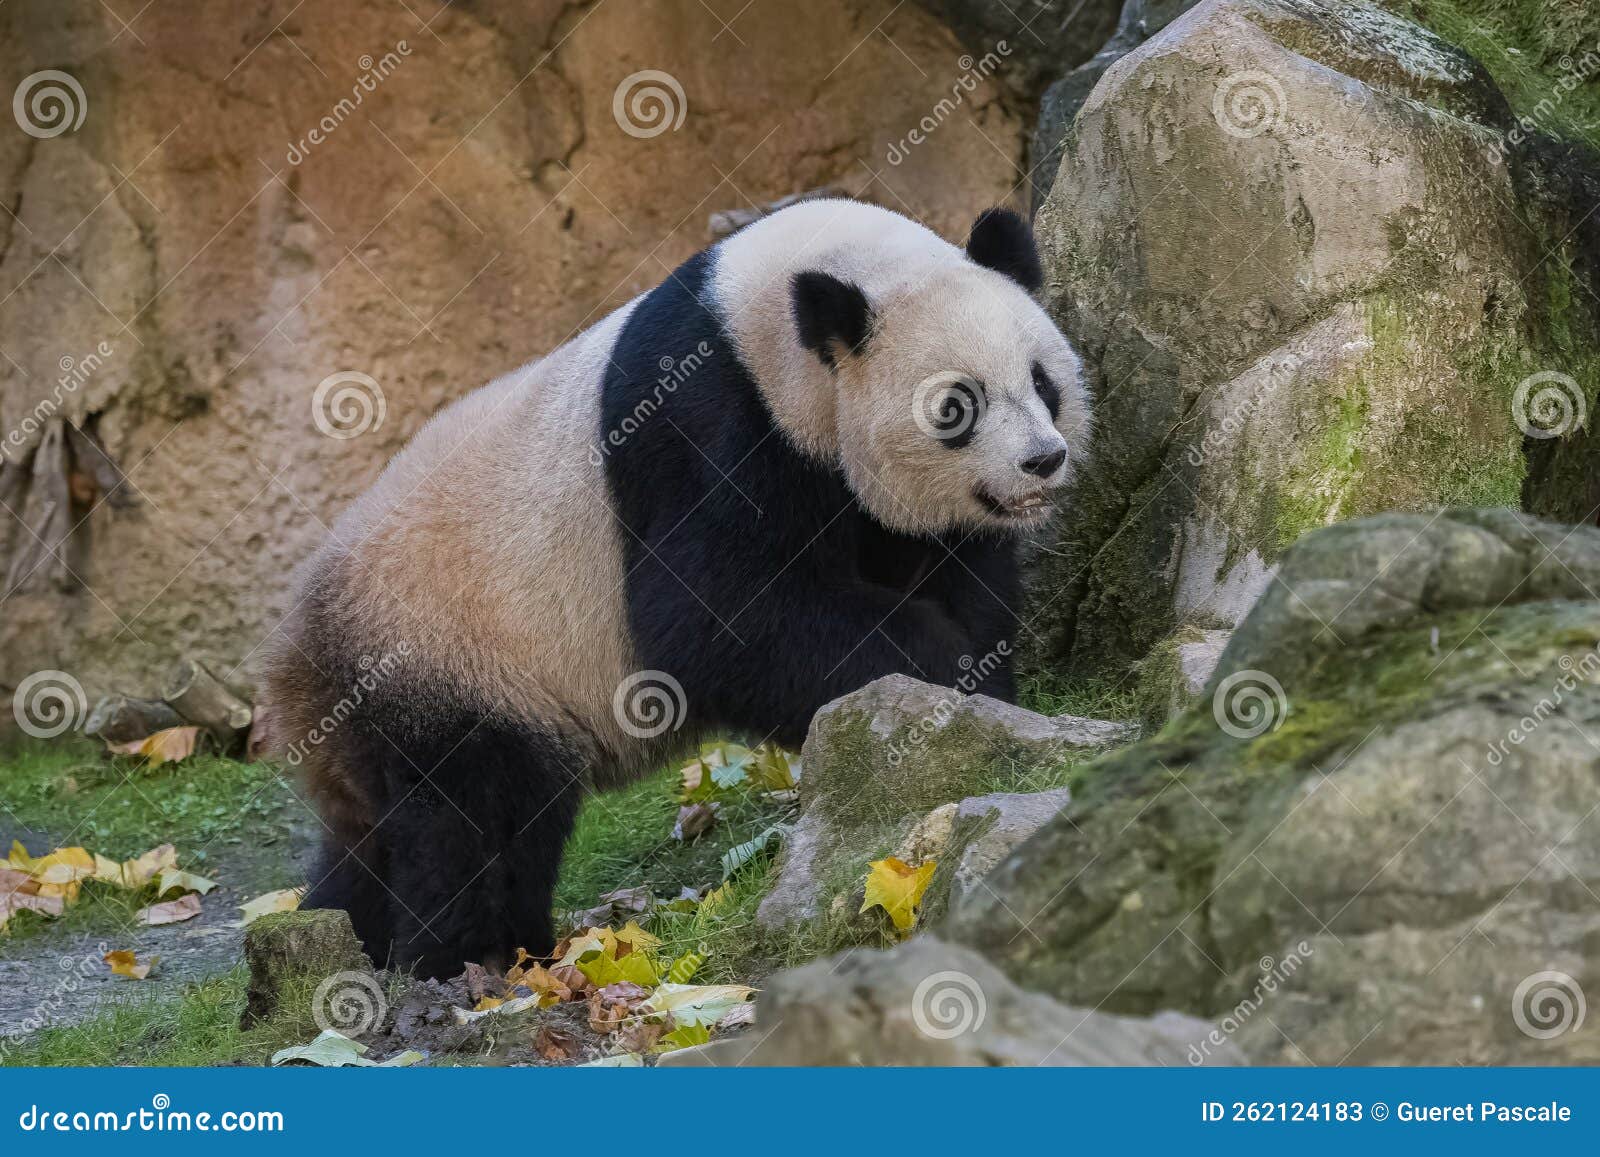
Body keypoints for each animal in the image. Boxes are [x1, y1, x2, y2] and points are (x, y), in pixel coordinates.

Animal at [264, 198, 1090, 978]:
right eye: (958, 405)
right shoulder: (708, 426)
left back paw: (350, 935)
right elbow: (714, 615)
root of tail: (292, 662)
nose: (1044, 461)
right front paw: (940, 675)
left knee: (379, 836)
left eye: (1042, 380)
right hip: (442, 649)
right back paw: (467, 957)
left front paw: (986, 690)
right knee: (469, 814)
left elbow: (953, 569)